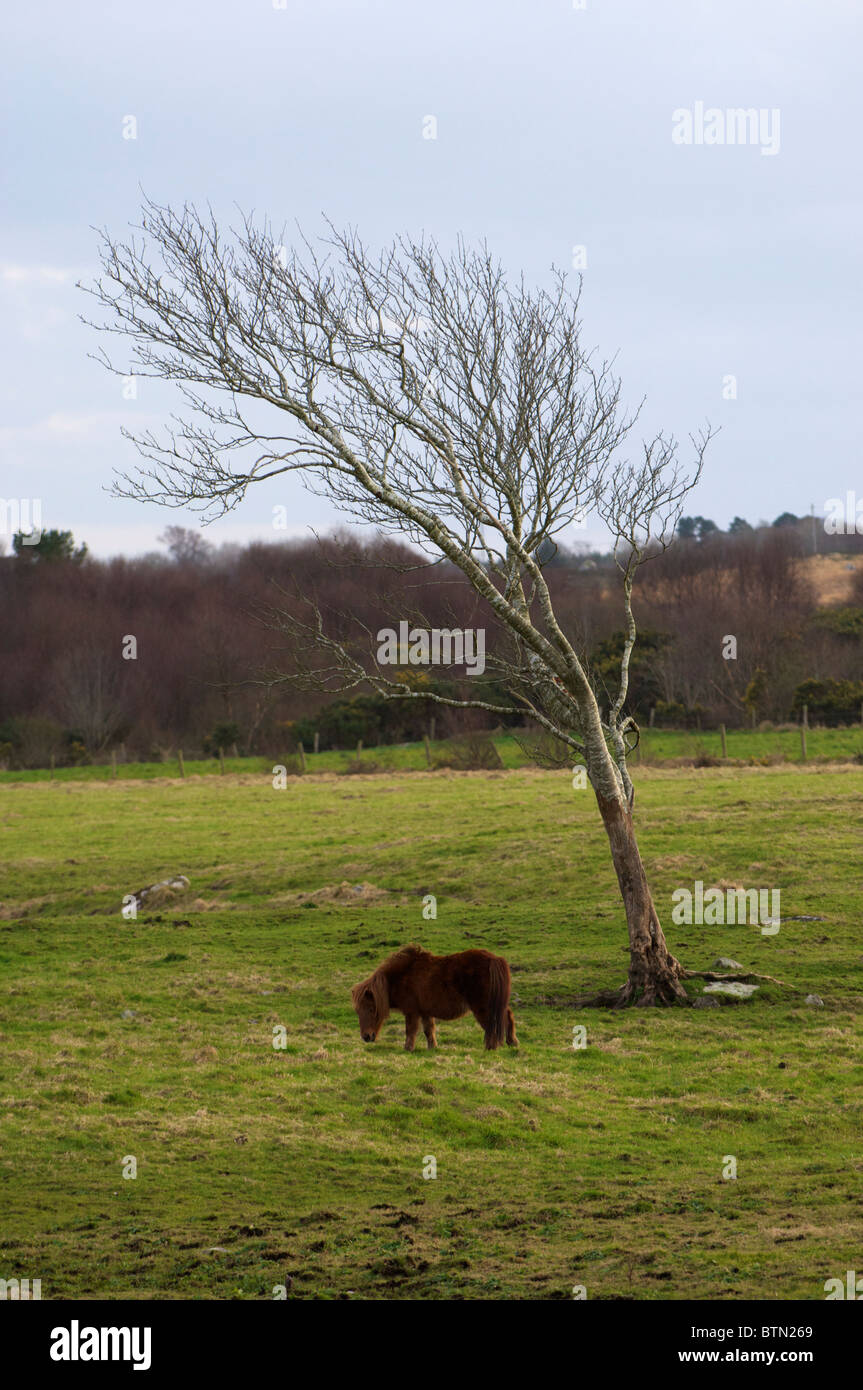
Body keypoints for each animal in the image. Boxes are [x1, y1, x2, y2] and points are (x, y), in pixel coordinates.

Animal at [351, 944, 517, 1051]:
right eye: (357, 1011)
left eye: (371, 1009)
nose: (366, 1037)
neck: (403, 976)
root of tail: (494, 959)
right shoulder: (425, 1012)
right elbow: (428, 1030)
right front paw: (432, 1048)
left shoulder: (412, 1012)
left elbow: (410, 1030)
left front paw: (407, 1048)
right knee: (507, 1017)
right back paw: (512, 1043)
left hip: (483, 1007)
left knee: (491, 1026)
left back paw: (491, 1048)